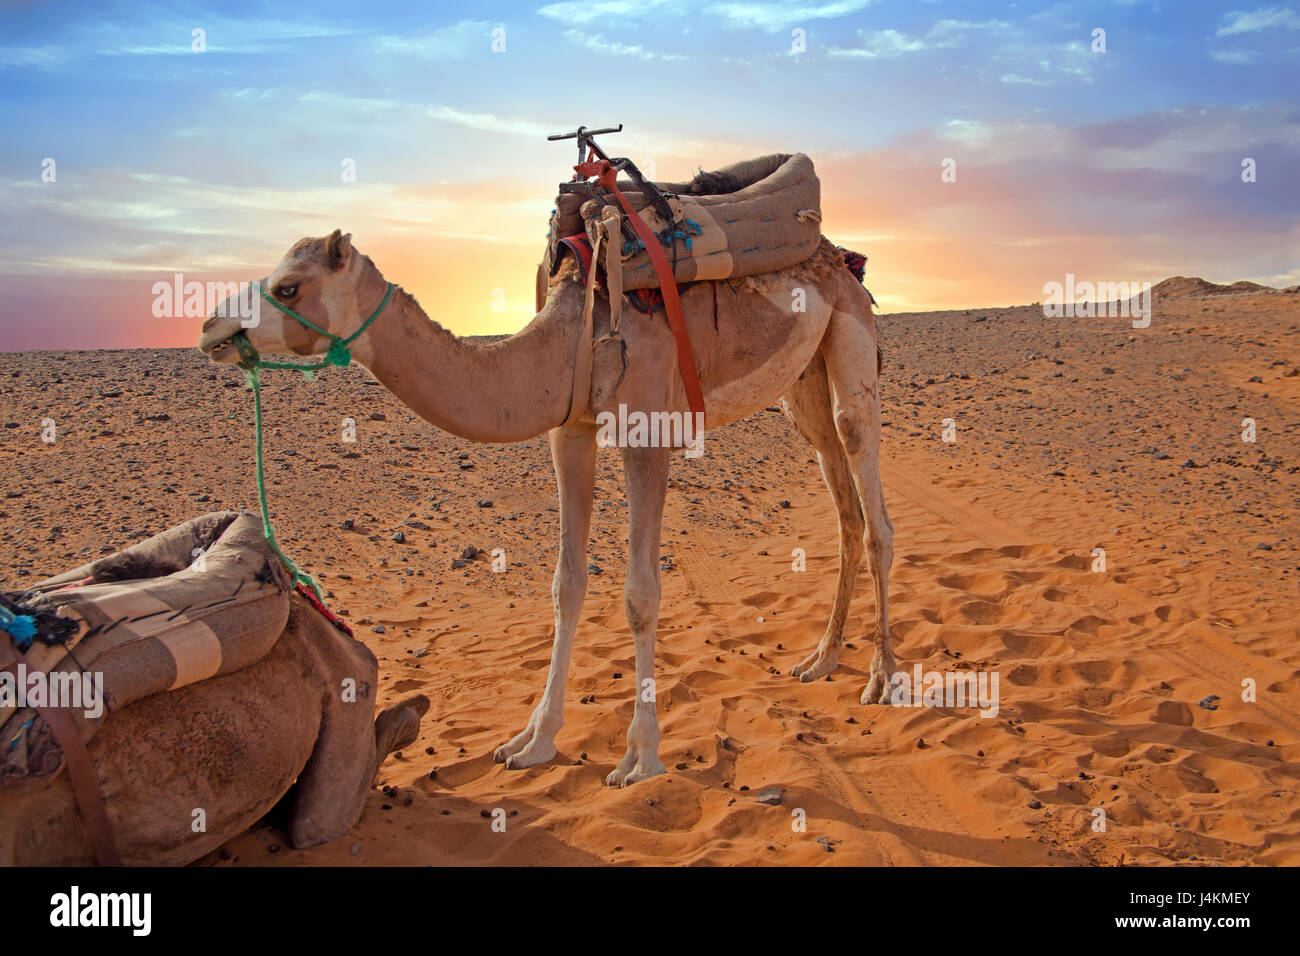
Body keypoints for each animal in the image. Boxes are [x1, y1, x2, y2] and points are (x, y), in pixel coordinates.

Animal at [198, 226, 893, 787]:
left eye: (288, 287)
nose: (210, 329)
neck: (560, 342)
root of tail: (843, 261)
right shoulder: (570, 429)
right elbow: (567, 584)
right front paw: (532, 741)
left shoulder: (648, 430)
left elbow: (641, 593)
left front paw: (640, 757)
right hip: (801, 384)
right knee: (845, 507)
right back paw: (821, 658)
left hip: (851, 338)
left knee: (872, 505)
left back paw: (881, 677)